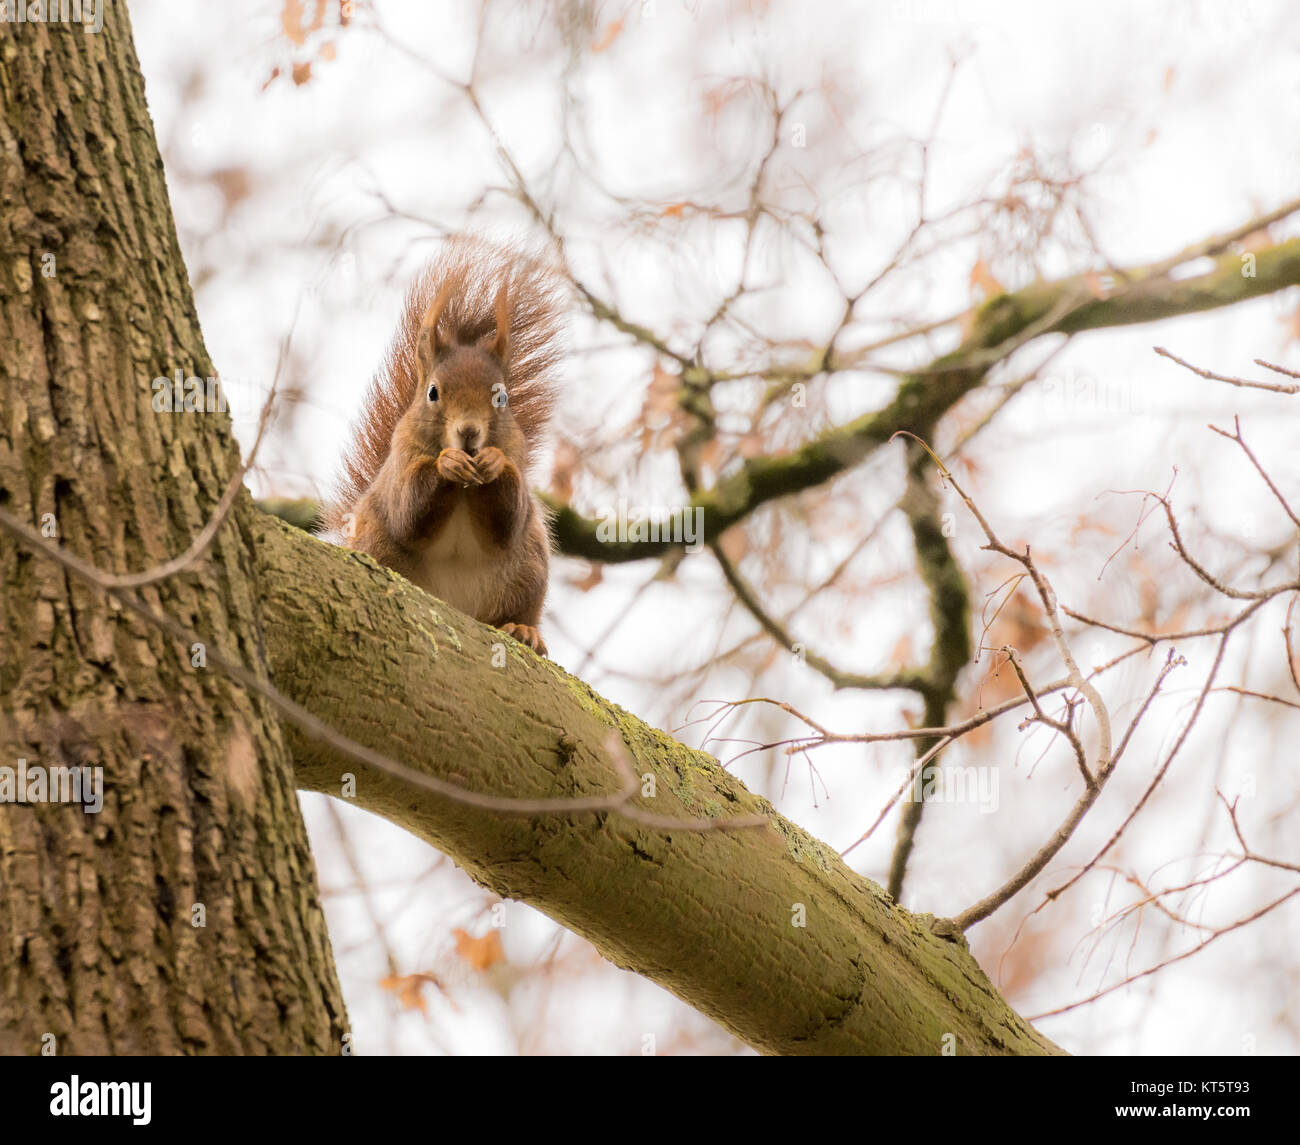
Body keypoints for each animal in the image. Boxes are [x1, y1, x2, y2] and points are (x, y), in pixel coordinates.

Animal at [326, 236, 563, 656]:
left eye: (502, 397)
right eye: (433, 392)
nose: (468, 433)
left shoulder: (516, 460)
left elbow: (510, 517)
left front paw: (492, 462)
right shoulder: (401, 460)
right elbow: (408, 510)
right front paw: (447, 463)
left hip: (529, 568)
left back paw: (523, 629)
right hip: (380, 546)